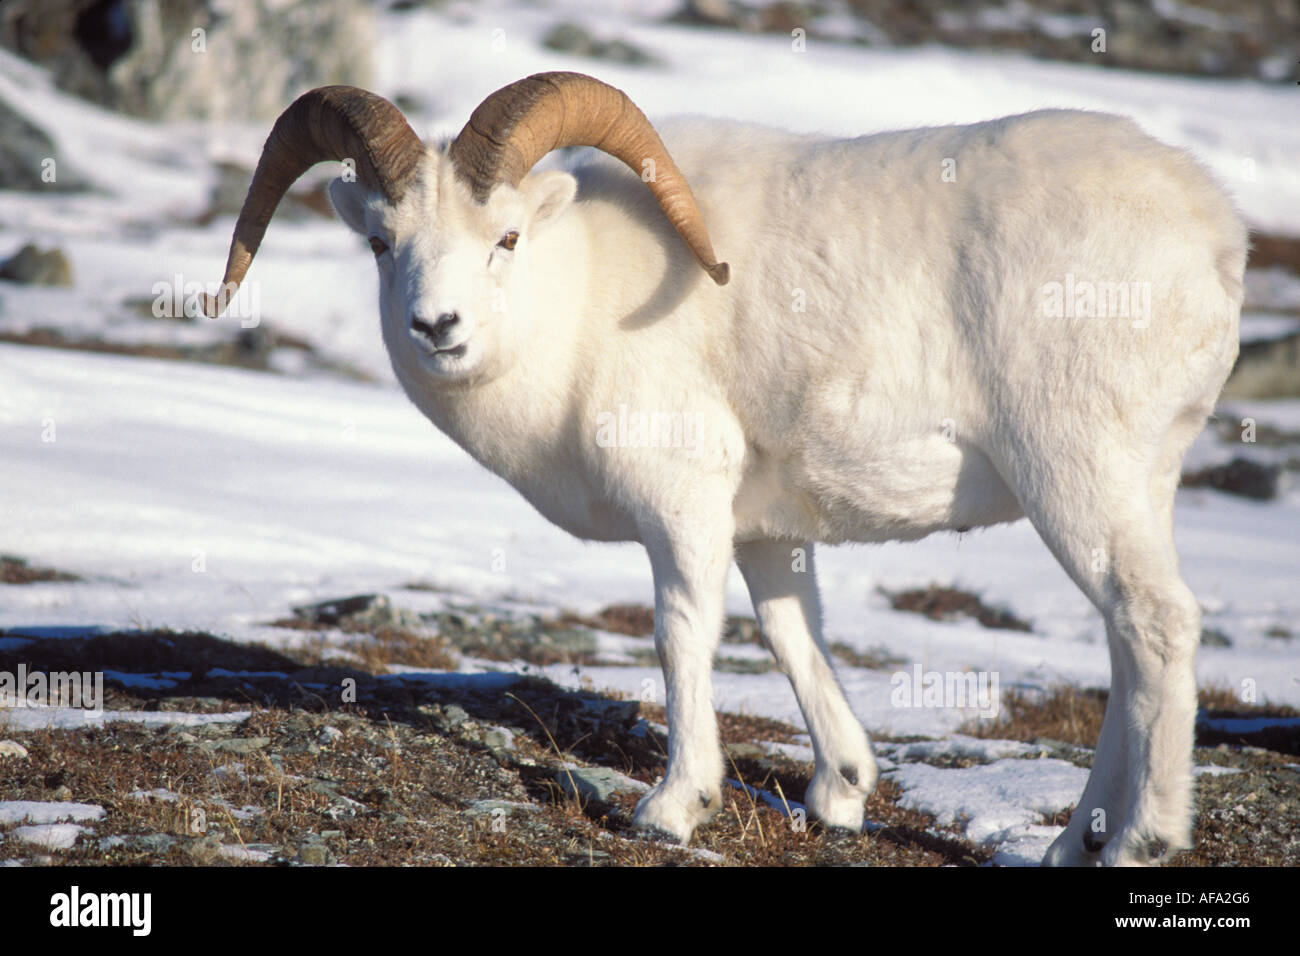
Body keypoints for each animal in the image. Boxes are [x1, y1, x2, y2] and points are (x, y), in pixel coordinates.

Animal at [204, 72, 1247, 865]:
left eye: (505, 238)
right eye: (383, 244)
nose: (437, 327)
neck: (581, 305)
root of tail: (1214, 233)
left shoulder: (682, 513)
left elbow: (682, 639)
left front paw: (673, 808)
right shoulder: (766, 533)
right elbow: (792, 635)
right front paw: (842, 793)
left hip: (1076, 477)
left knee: (1154, 626)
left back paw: (1141, 843)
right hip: (1131, 493)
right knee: (1127, 646)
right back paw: (1073, 845)